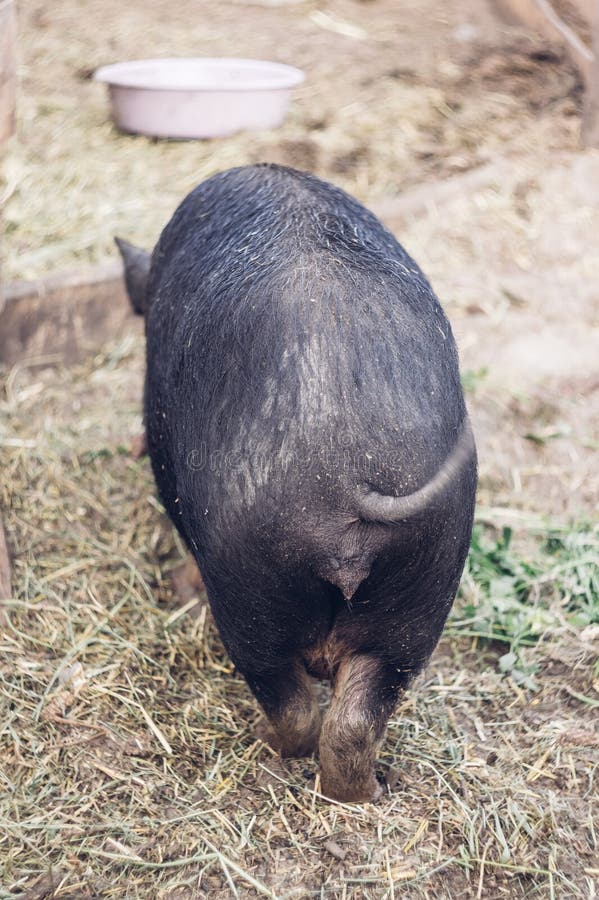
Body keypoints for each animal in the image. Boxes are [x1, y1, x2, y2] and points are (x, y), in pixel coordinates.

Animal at [116, 163, 477, 803]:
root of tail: (347, 471)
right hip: (429, 573)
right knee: (357, 716)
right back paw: (366, 793)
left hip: (249, 580)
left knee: (291, 703)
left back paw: (262, 743)